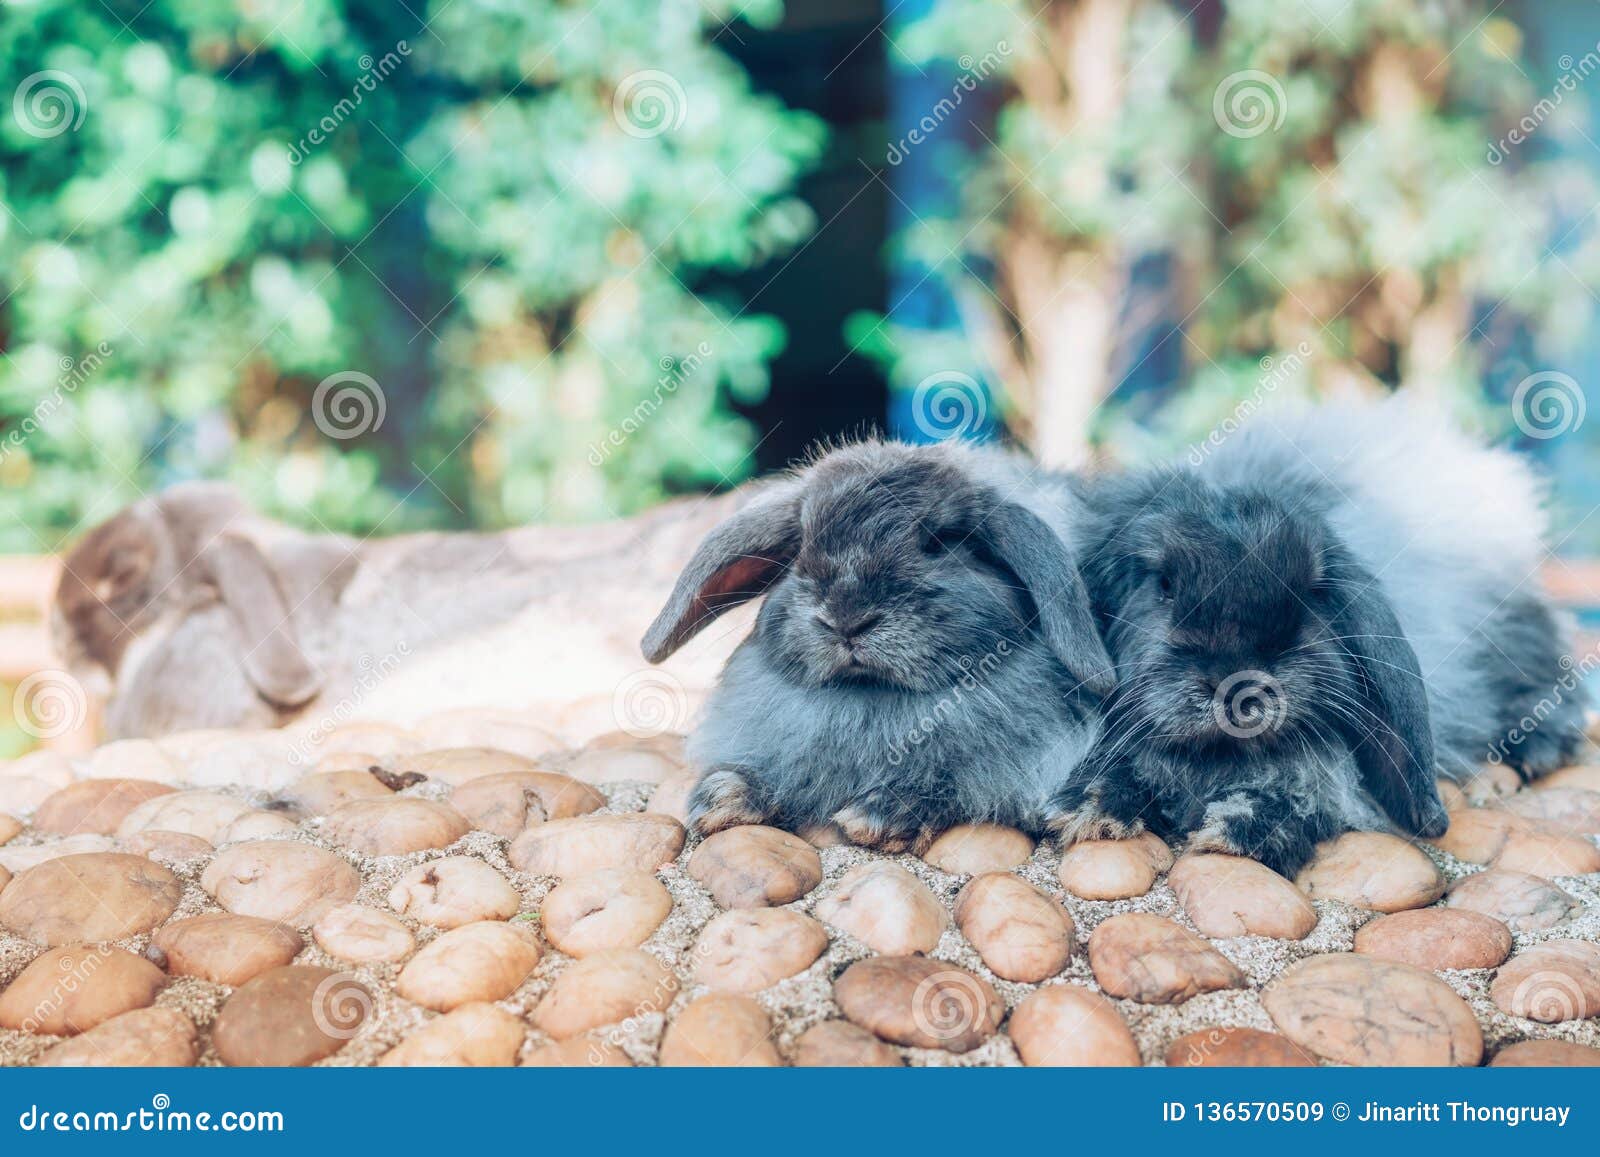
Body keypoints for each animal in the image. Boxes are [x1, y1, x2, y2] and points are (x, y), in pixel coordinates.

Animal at [639, 438, 1115, 852]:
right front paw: (720, 800)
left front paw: (878, 815)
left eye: (937, 542)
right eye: (800, 550)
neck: (871, 699)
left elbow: (958, 787)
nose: (847, 619)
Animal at [1045, 399, 1588, 876]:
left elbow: (1310, 797)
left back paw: (1537, 747)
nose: (1240, 683)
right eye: (1163, 585)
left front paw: (1235, 832)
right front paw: (1088, 810)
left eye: (1309, 593)